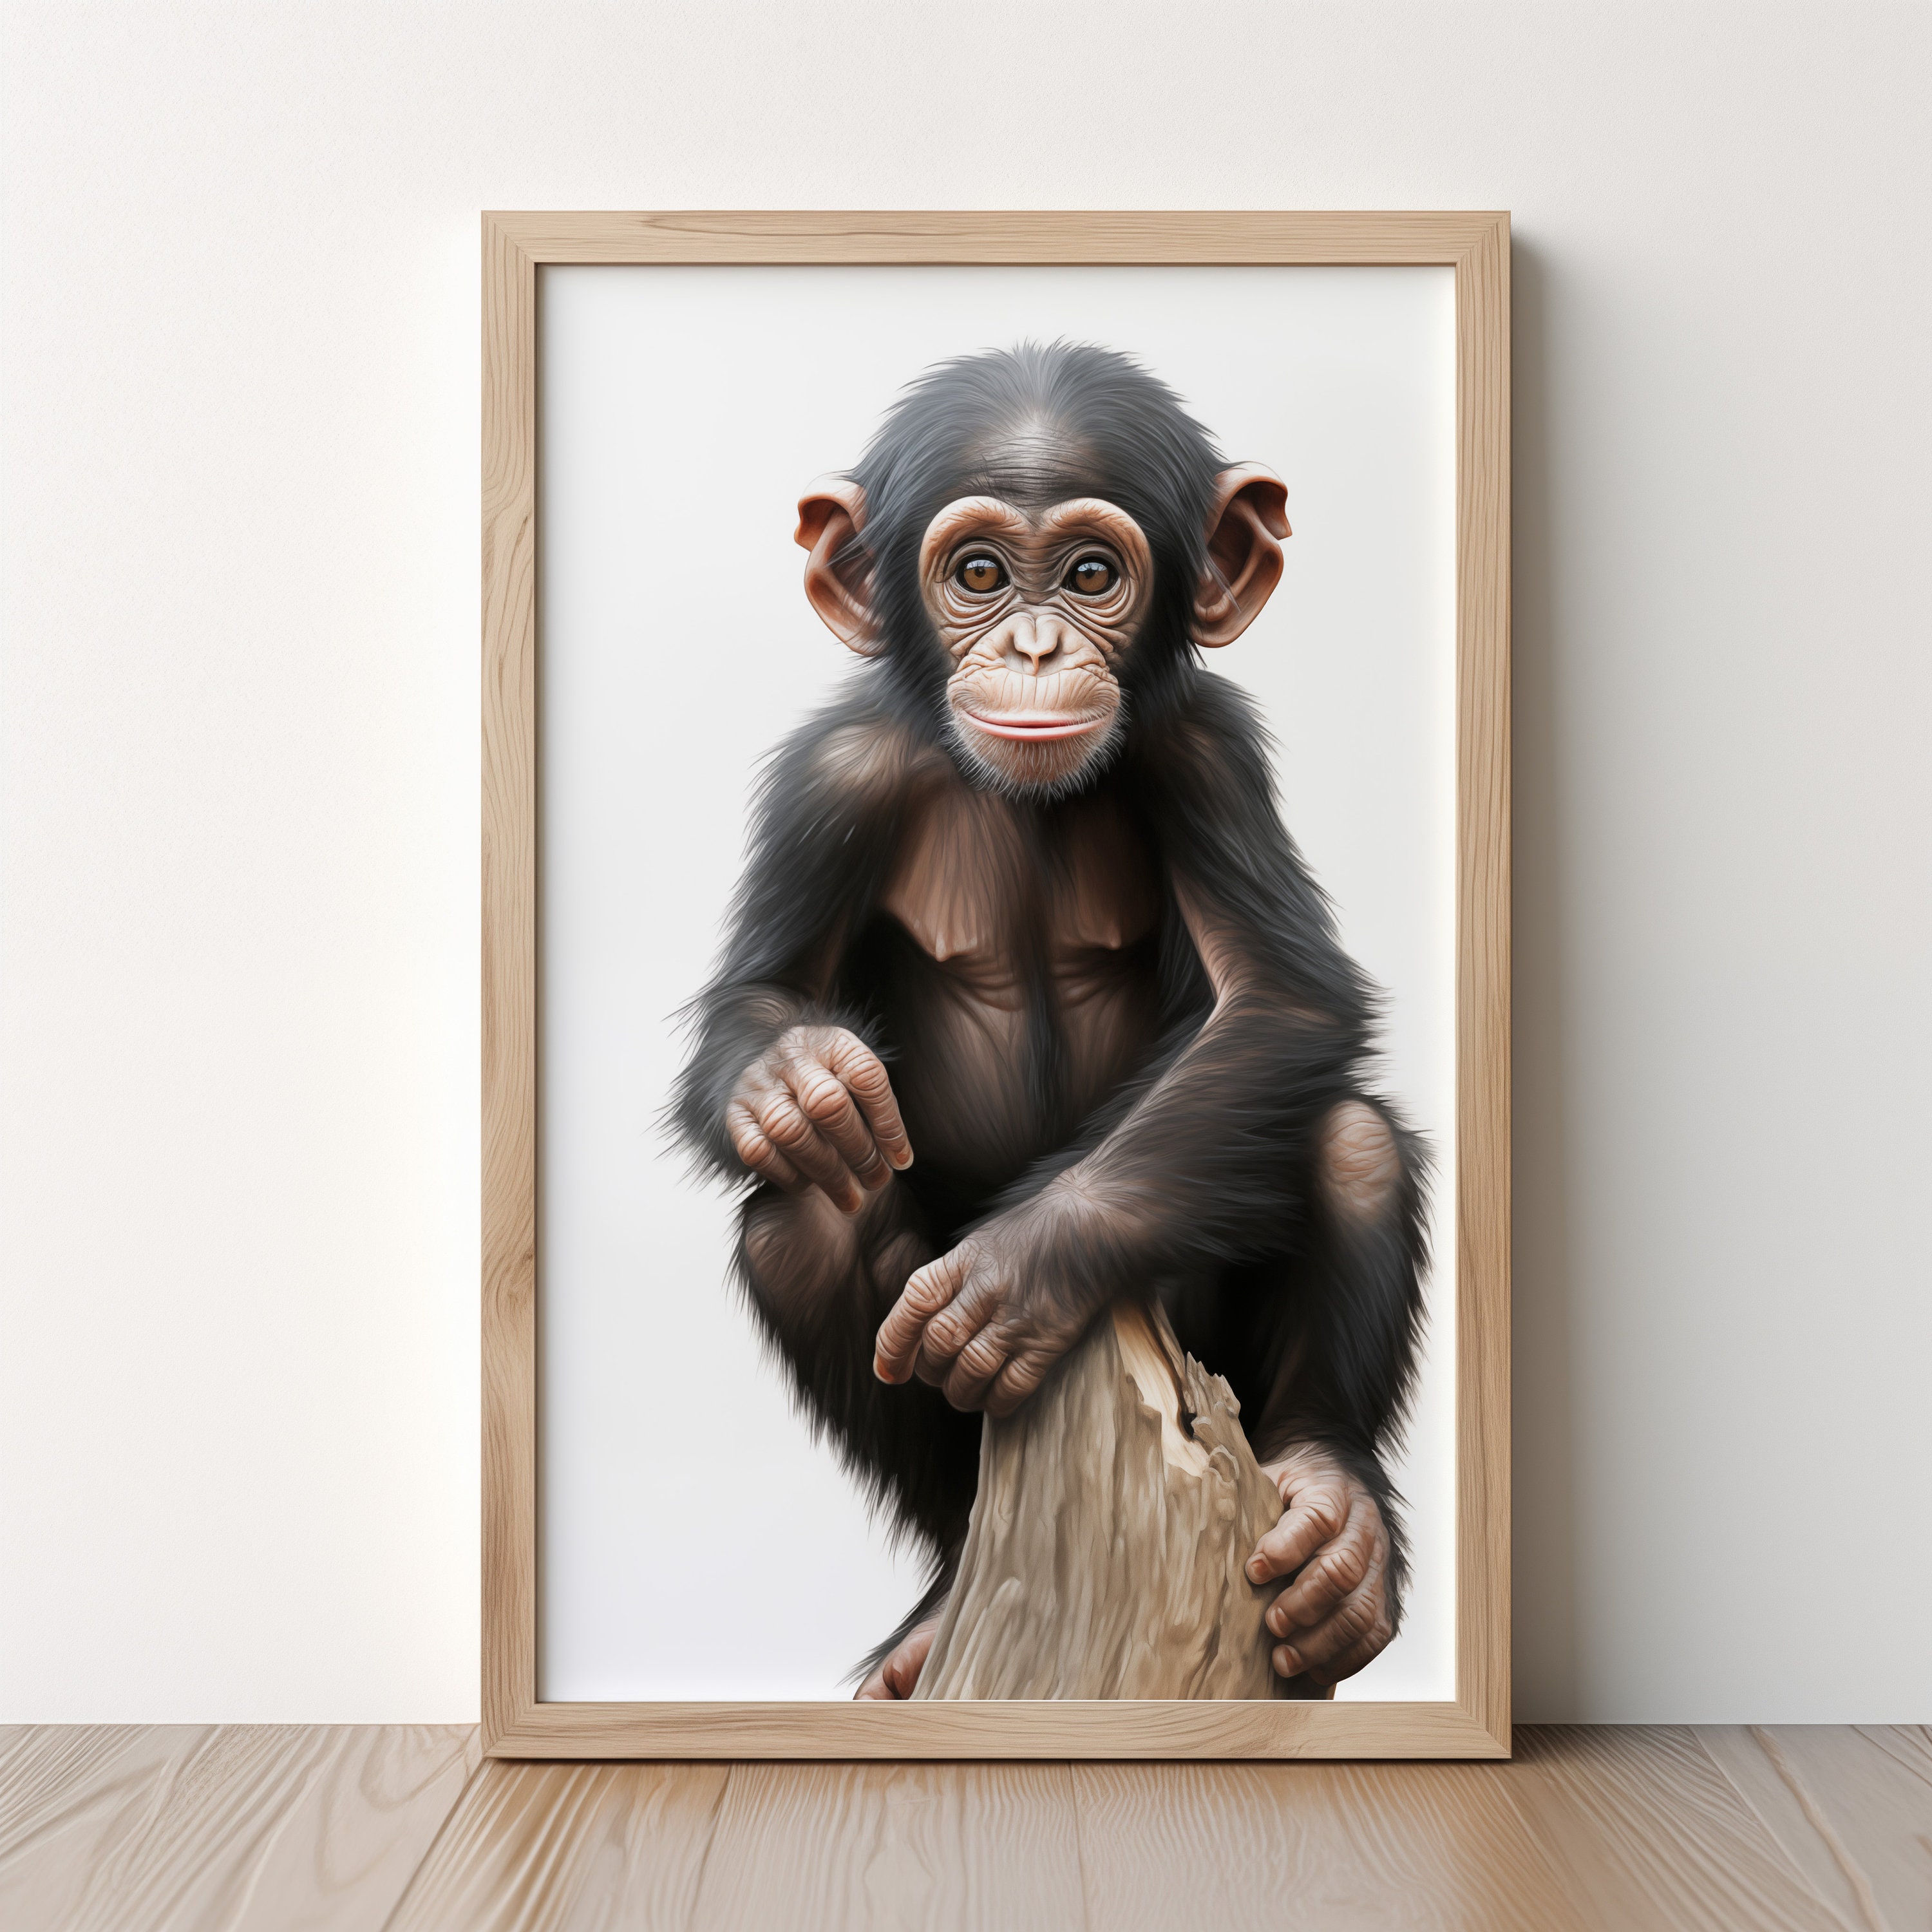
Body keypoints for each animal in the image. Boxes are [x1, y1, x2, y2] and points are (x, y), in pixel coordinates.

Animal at [672, 342, 1428, 1698]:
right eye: (978, 573)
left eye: (1090, 575)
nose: (1031, 646)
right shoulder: (829, 779)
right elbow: (760, 995)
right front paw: (794, 1082)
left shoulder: (1210, 751)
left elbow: (1283, 997)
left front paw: (1017, 1276)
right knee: (805, 1222)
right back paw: (935, 1615)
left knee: (1347, 1138)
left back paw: (1334, 1511)